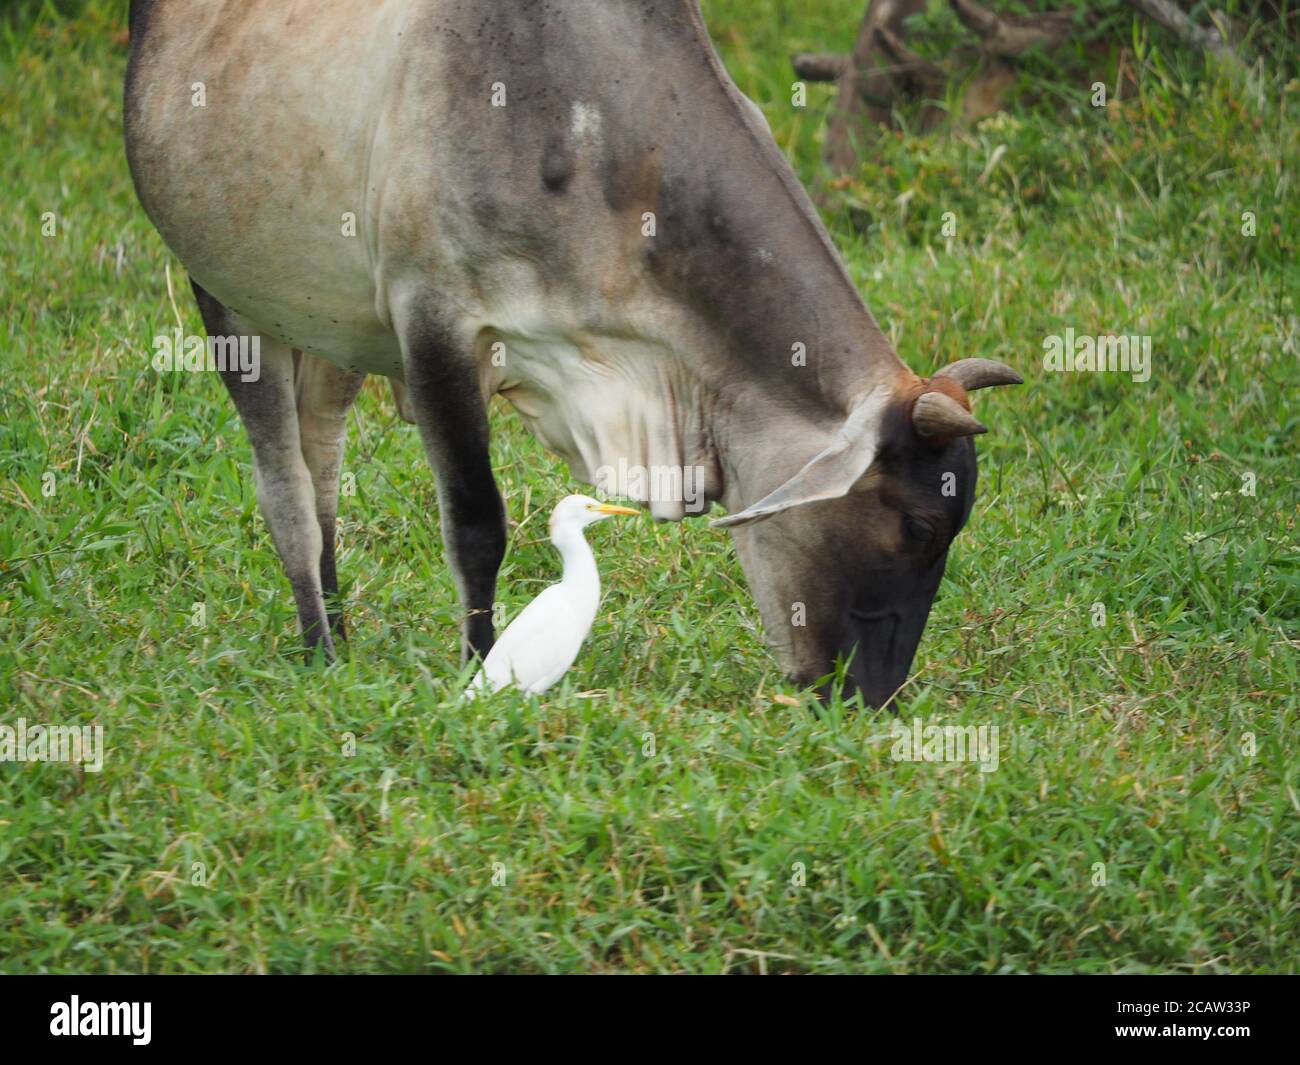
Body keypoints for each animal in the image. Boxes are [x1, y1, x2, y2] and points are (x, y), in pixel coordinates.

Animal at [123, 0, 1020, 708]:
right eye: (917, 525)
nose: (874, 698)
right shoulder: (435, 320)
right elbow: (477, 526)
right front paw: (480, 666)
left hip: (326, 334)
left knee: (322, 476)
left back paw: (342, 632)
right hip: (229, 300)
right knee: (286, 492)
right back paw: (320, 648)